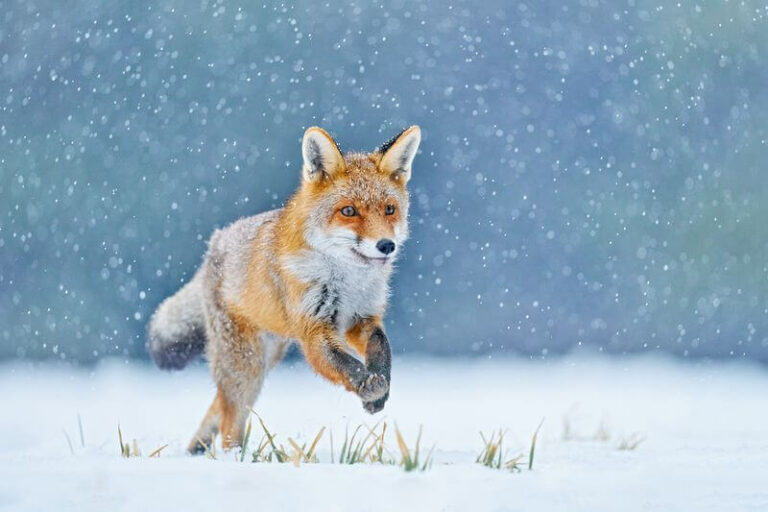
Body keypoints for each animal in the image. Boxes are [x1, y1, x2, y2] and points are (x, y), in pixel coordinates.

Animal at [147, 125, 421, 454]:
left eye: (390, 209)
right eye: (349, 211)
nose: (386, 245)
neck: (347, 282)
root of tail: (215, 244)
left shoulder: (363, 318)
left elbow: (382, 350)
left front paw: (381, 388)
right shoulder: (313, 330)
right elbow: (344, 364)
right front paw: (368, 386)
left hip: (265, 358)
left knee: (219, 406)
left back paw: (195, 450)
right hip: (245, 364)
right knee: (230, 420)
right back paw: (233, 457)